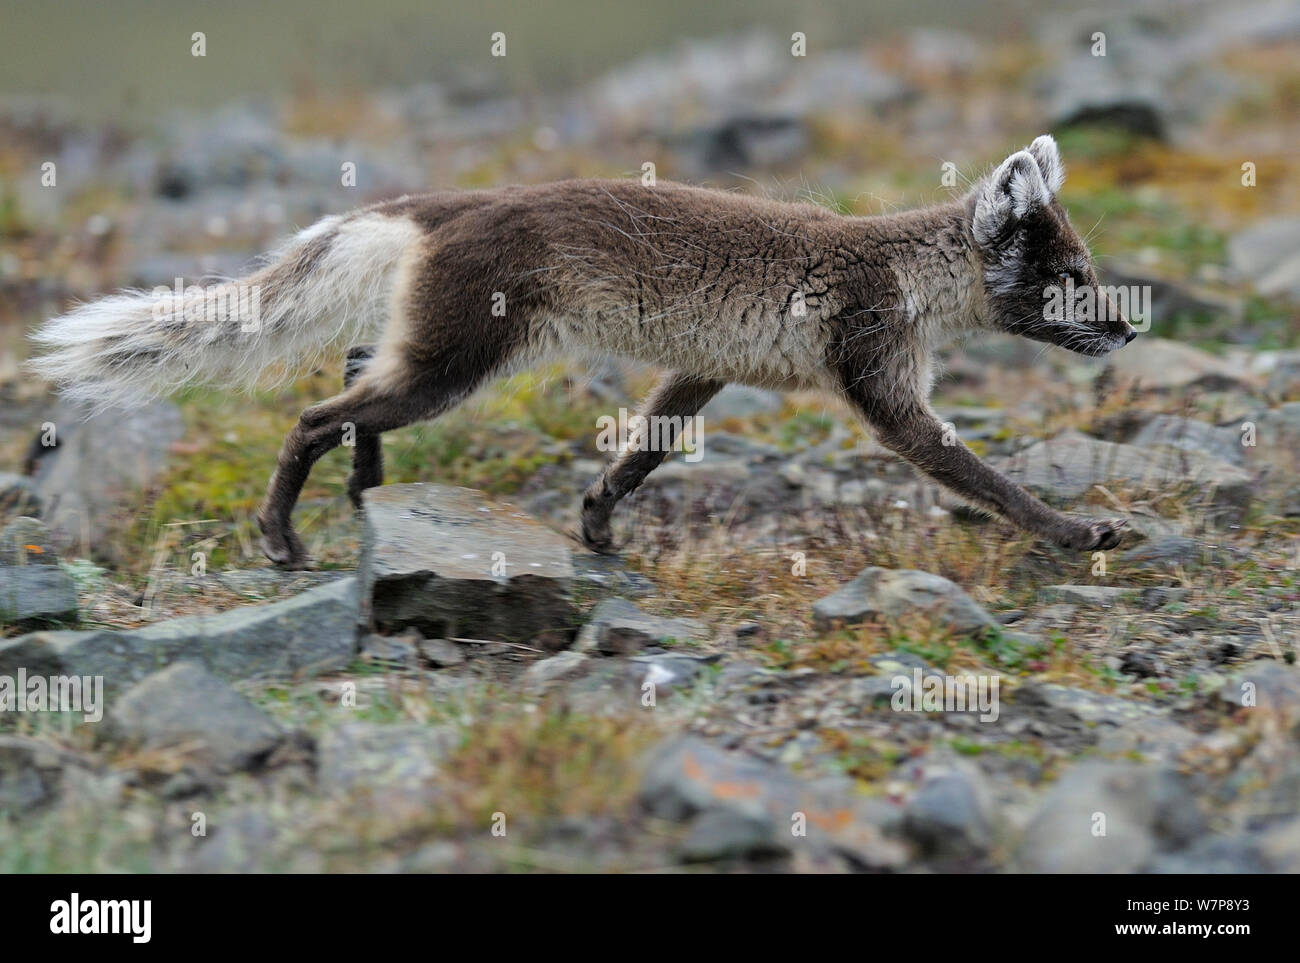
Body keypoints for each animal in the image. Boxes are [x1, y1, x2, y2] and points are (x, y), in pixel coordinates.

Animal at [30, 135, 1136, 568]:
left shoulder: (706, 368)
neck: (908, 269)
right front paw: (1074, 531)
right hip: (460, 361)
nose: (1132, 327)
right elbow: (980, 476)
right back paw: (283, 534)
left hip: (435, 350)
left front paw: (599, 525)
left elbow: (645, 447)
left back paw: (368, 491)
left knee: (352, 370)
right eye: (1073, 275)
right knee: (314, 412)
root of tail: (446, 202)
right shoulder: (880, 383)